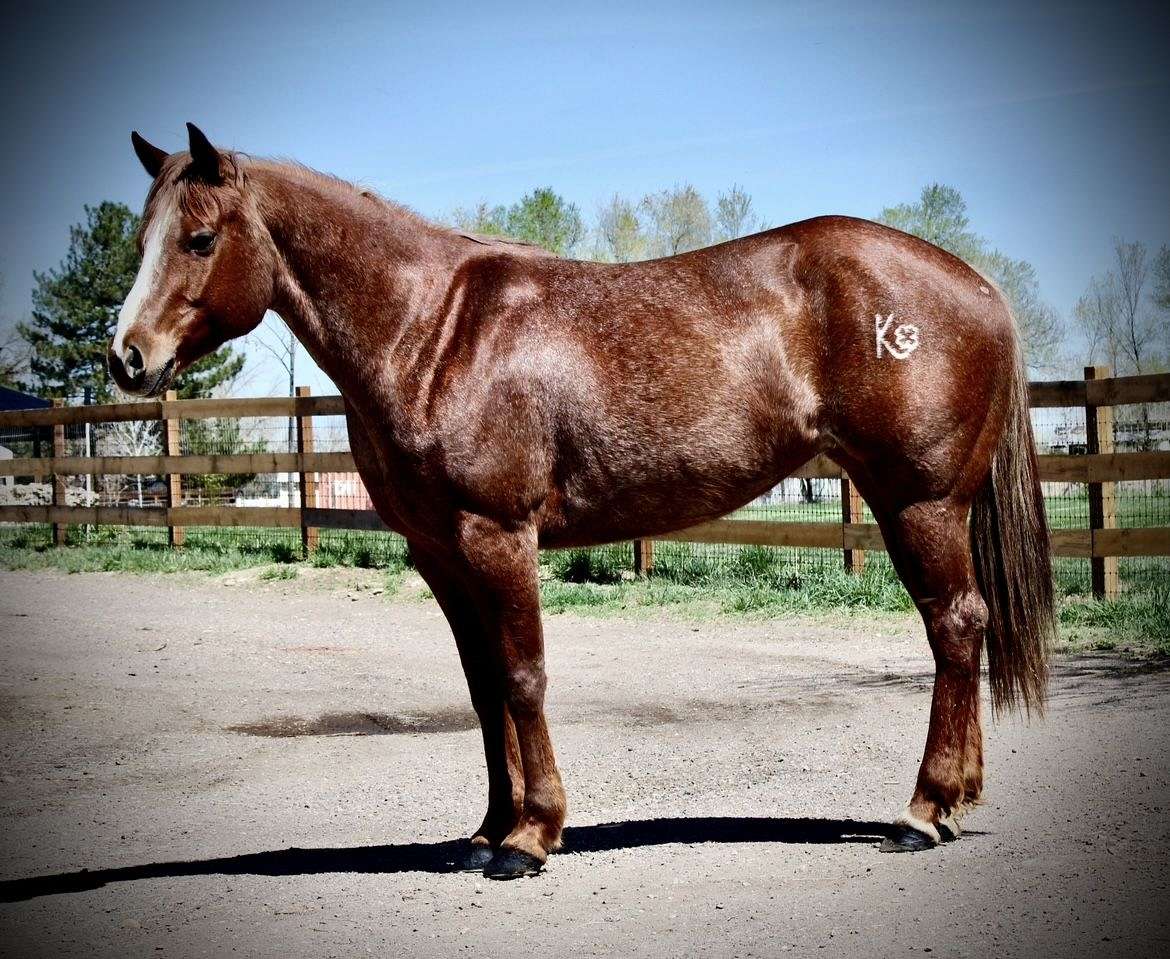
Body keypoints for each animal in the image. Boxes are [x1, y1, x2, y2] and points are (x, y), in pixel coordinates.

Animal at [109, 124, 1054, 879]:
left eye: (199, 238)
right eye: (143, 239)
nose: (128, 357)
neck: (432, 330)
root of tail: (978, 286)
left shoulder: (498, 534)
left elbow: (525, 675)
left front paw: (532, 838)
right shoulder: (439, 552)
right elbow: (484, 685)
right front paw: (488, 831)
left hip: (920, 503)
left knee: (955, 627)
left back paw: (923, 812)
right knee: (960, 631)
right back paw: (956, 800)